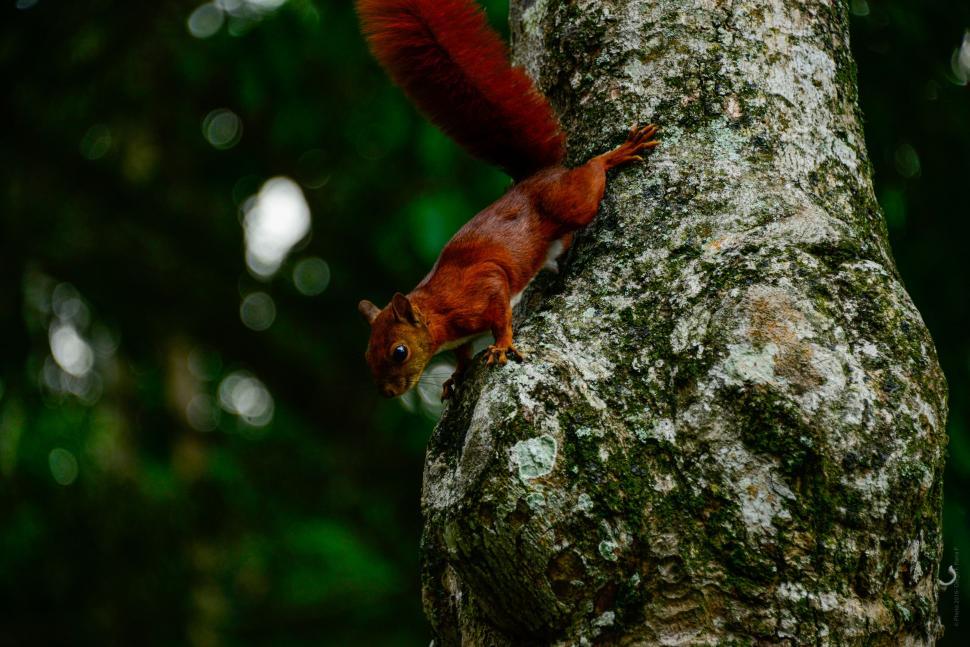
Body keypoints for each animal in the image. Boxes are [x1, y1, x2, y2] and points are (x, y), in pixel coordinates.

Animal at [355, 0, 659, 400]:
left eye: (399, 351)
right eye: (367, 354)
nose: (389, 392)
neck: (436, 313)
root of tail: (536, 174)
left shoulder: (483, 288)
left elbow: (500, 314)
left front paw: (501, 346)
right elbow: (463, 354)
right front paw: (456, 375)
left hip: (568, 203)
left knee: (589, 179)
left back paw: (615, 155)